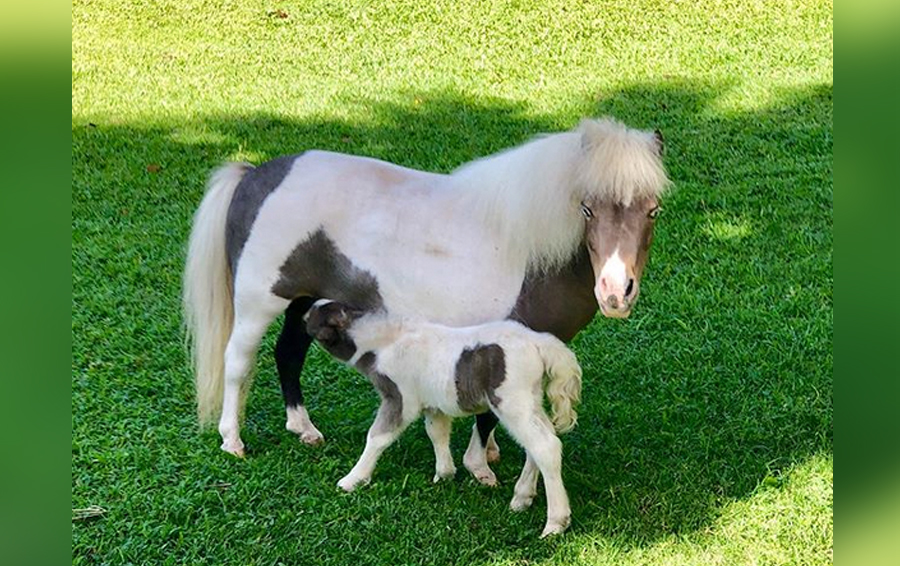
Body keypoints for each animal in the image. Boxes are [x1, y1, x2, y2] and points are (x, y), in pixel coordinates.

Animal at [183, 116, 669, 468]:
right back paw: (232, 440)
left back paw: (303, 429)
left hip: (304, 302)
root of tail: (254, 174)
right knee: (237, 362)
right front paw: (479, 466)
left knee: (287, 353)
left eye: (653, 210)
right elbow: (486, 413)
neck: (529, 247)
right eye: (587, 209)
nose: (615, 292)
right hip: (258, 303)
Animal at [304, 299, 583, 537]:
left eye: (315, 319)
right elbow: (436, 432)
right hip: (531, 399)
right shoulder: (432, 404)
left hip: (512, 400)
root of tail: (539, 342)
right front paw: (444, 475)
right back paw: (521, 499)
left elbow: (378, 436)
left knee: (545, 446)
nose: (305, 311)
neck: (383, 343)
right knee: (539, 441)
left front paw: (352, 480)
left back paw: (555, 523)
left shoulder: (400, 398)